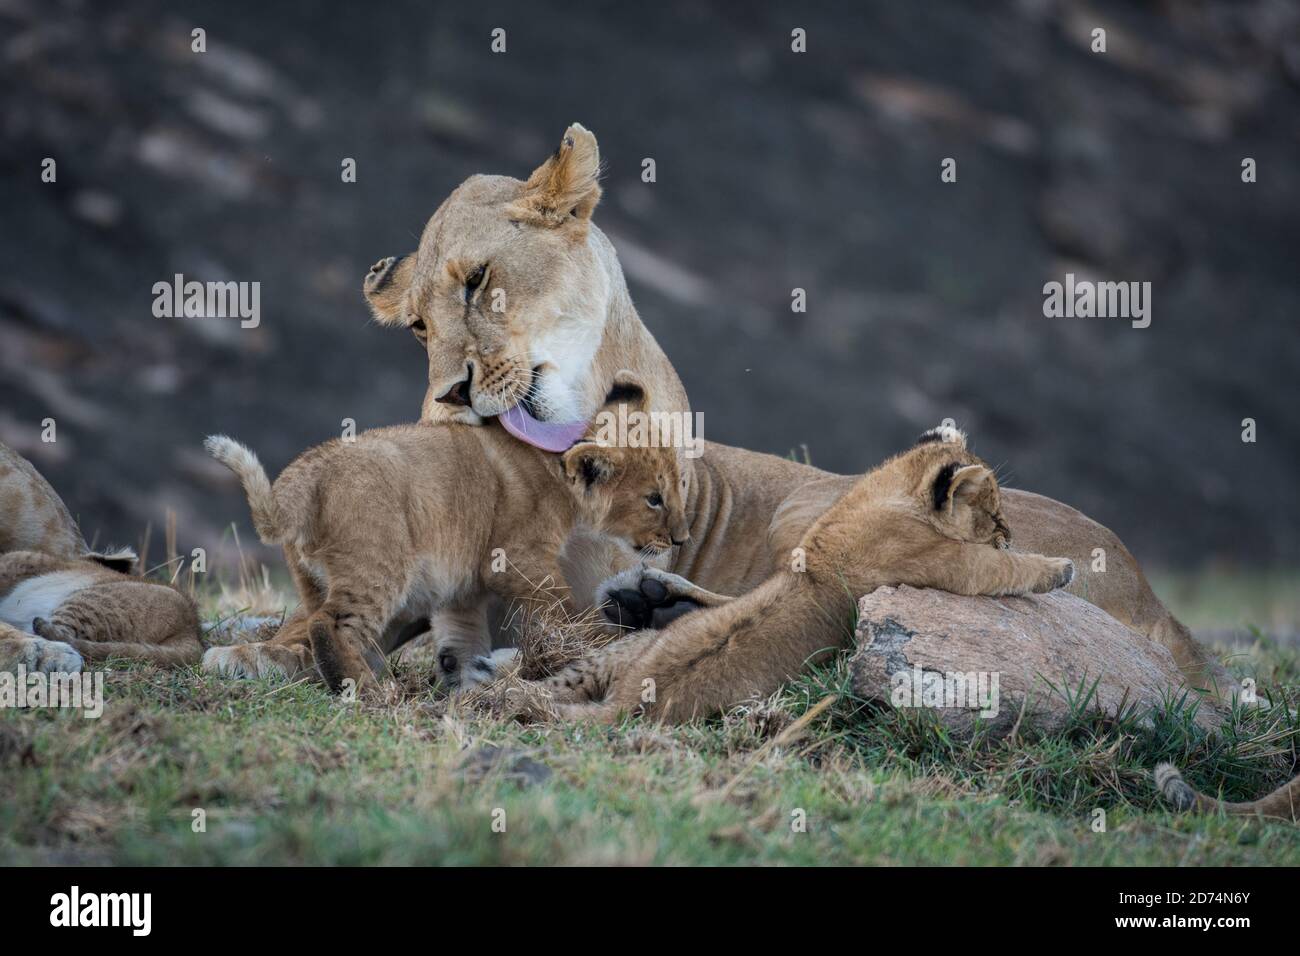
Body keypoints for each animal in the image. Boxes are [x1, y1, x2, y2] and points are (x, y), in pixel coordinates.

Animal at [202, 375, 688, 694]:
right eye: (654, 499)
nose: (681, 538)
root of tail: (300, 482)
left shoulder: (462, 577)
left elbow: (463, 633)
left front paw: (465, 676)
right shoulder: (516, 558)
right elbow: (561, 606)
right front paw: (580, 640)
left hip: (313, 579)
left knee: (317, 622)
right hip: (378, 565)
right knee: (330, 624)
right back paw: (367, 691)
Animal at [510, 425, 1073, 722]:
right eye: (995, 515)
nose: (1009, 531)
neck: (885, 495)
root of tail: (626, 701)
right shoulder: (943, 563)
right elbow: (998, 569)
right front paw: (1058, 567)